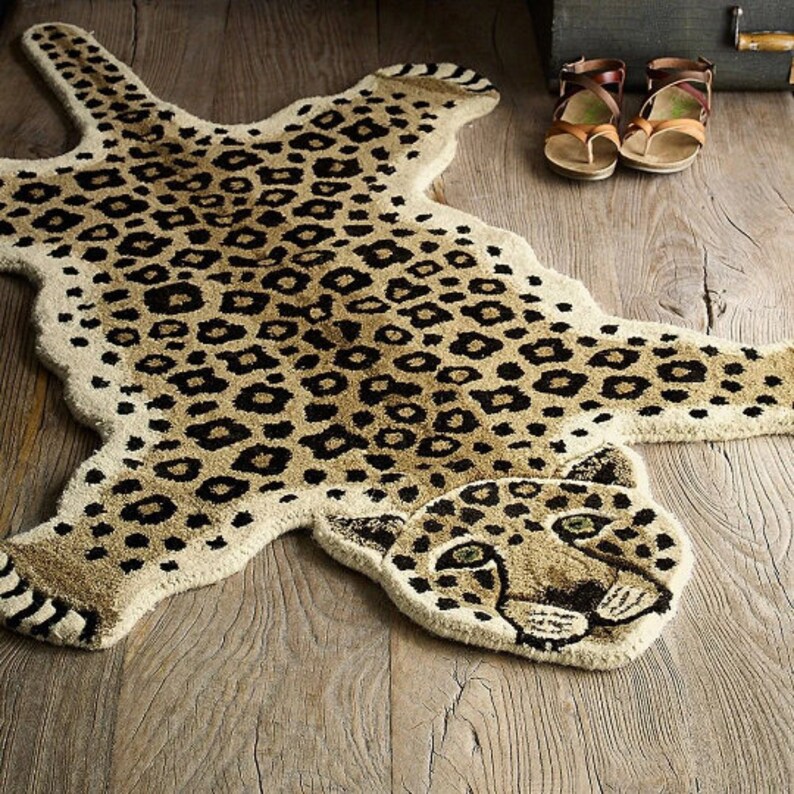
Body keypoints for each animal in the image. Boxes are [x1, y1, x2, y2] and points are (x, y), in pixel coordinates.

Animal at [0, 23, 790, 669]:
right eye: (468, 558)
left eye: (582, 522)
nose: (580, 597)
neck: (452, 444)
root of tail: (160, 138)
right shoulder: (228, 461)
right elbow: (144, 517)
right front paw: (49, 582)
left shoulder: (592, 362)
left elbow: (714, 372)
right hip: (33, 213)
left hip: (331, 151)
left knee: (363, 115)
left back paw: (437, 81)